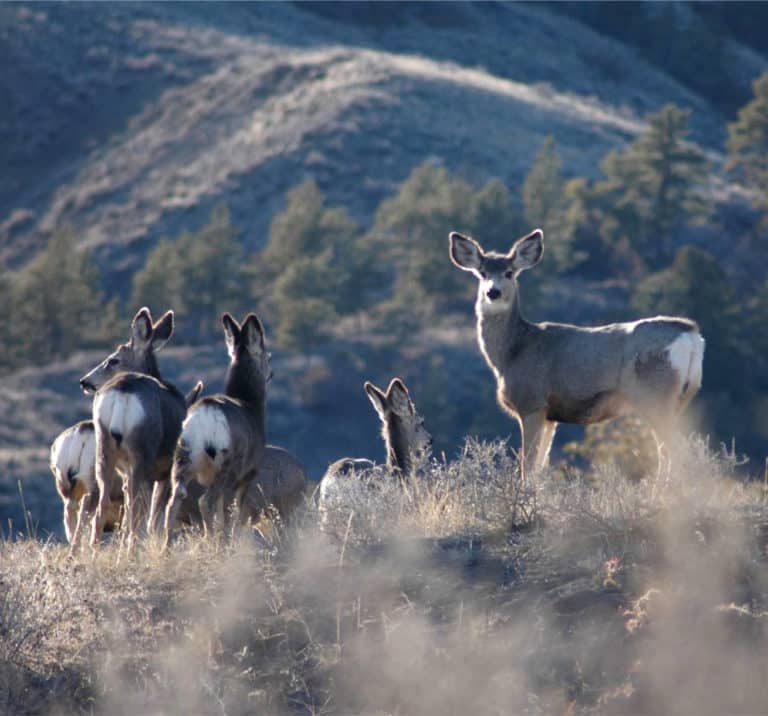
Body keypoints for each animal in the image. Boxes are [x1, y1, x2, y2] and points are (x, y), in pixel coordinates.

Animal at [80, 307, 191, 552]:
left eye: (113, 360)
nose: (84, 381)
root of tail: (124, 388)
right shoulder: (166, 469)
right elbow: (154, 517)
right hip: (142, 454)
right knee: (134, 515)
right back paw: (131, 552)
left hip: (105, 449)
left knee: (102, 509)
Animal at [162, 312, 269, 549]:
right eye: (268, 356)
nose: (271, 373)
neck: (251, 406)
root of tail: (204, 418)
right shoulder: (248, 475)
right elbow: (235, 515)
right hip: (227, 465)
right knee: (206, 501)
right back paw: (213, 542)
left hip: (182, 459)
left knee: (174, 501)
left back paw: (166, 548)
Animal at [449, 228, 705, 481]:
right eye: (482, 273)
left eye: (509, 273)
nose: (493, 292)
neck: (511, 354)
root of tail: (691, 335)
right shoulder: (550, 415)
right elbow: (539, 467)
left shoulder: (531, 401)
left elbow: (527, 468)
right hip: (680, 400)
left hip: (655, 395)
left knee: (678, 455)